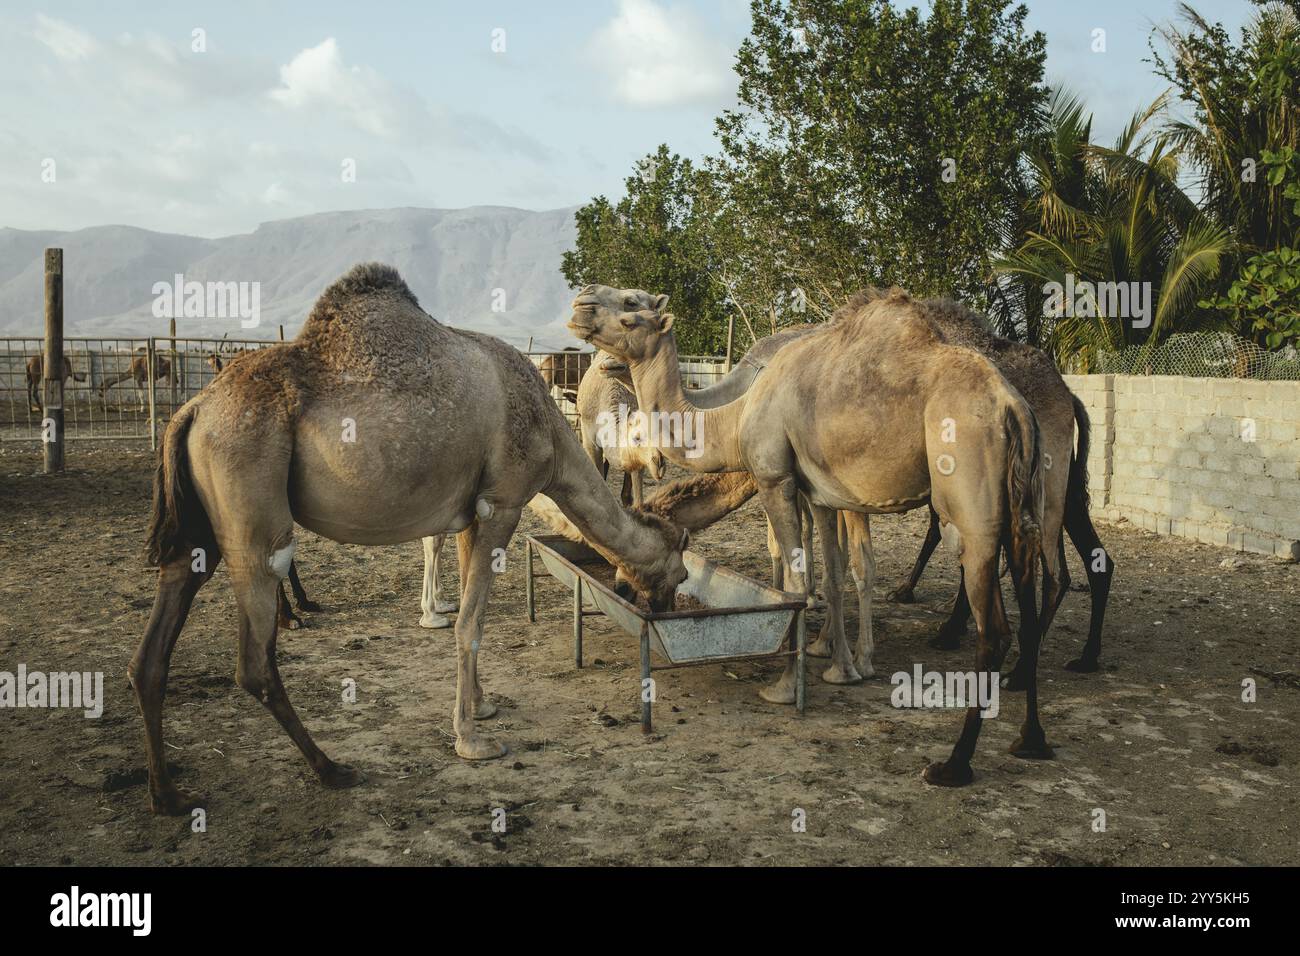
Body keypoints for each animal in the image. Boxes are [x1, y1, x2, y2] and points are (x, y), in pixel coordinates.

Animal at [133, 263, 686, 814]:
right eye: (680, 572)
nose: (665, 606)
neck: (551, 432)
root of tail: (192, 410)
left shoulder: (471, 511)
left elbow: (468, 605)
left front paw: (480, 705)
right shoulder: (503, 503)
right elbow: (470, 623)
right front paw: (471, 740)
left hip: (200, 530)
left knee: (153, 650)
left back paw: (167, 794)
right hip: (250, 505)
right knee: (253, 661)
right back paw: (331, 768)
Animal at [571, 284, 1054, 786]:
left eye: (631, 308)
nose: (580, 304)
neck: (736, 414)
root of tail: (1013, 409)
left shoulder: (775, 477)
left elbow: (797, 583)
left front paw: (786, 685)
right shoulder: (820, 492)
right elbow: (833, 573)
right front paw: (839, 665)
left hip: (971, 504)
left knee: (995, 628)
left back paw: (953, 764)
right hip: (1022, 504)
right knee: (1029, 606)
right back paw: (1031, 739)